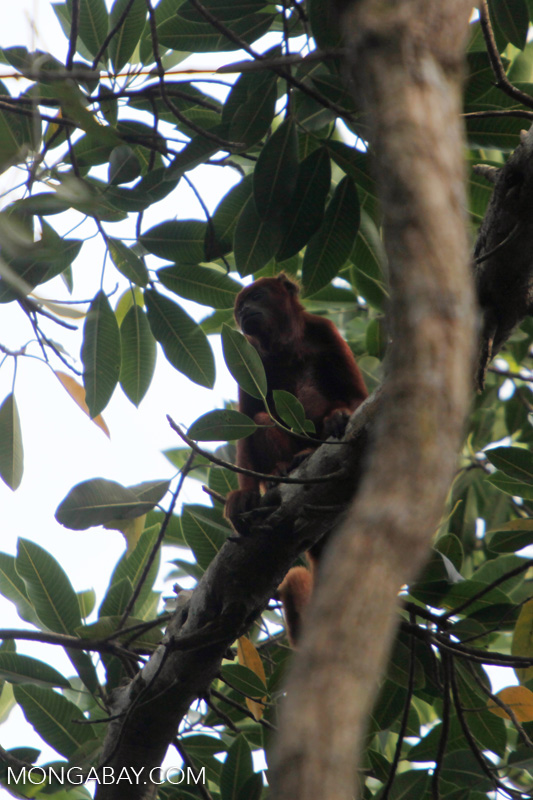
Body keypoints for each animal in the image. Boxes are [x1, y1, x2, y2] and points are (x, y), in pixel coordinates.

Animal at [225, 273, 368, 644]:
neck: (285, 344)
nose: (243, 311)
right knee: (261, 419)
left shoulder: (324, 330)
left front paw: (339, 416)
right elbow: (247, 420)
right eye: (239, 306)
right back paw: (283, 468)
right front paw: (243, 496)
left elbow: (357, 397)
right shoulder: (251, 353)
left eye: (257, 296)